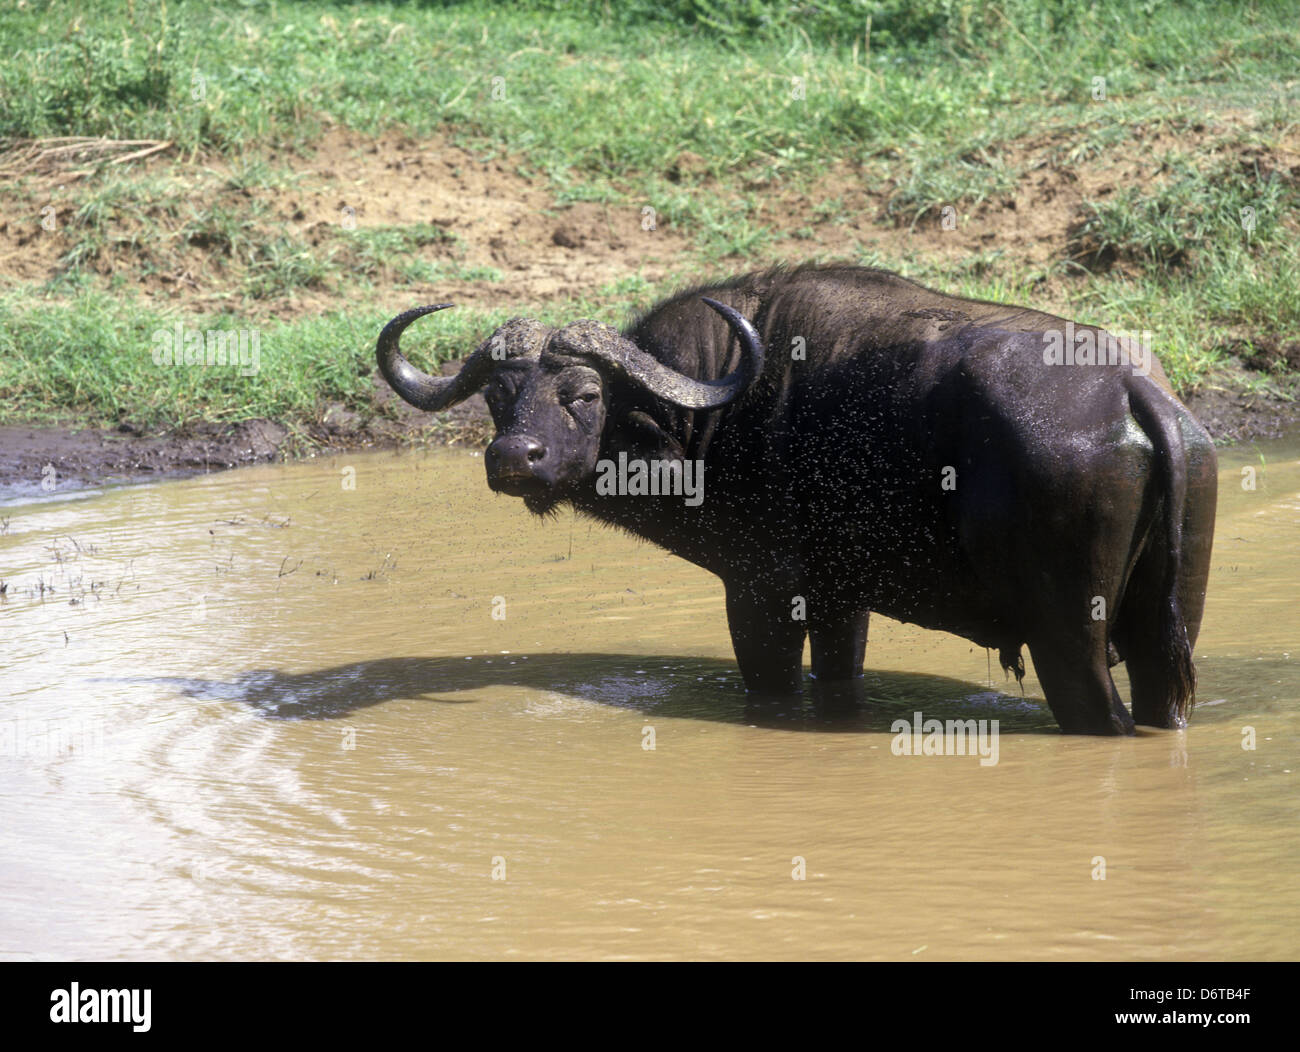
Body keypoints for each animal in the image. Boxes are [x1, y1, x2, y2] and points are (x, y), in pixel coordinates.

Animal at [376, 264, 1218, 735]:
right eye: (497, 396)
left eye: (583, 394)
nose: (512, 459)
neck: (715, 411)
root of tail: (1133, 389)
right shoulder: (842, 598)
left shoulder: (761, 592)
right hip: (1163, 635)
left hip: (1068, 637)